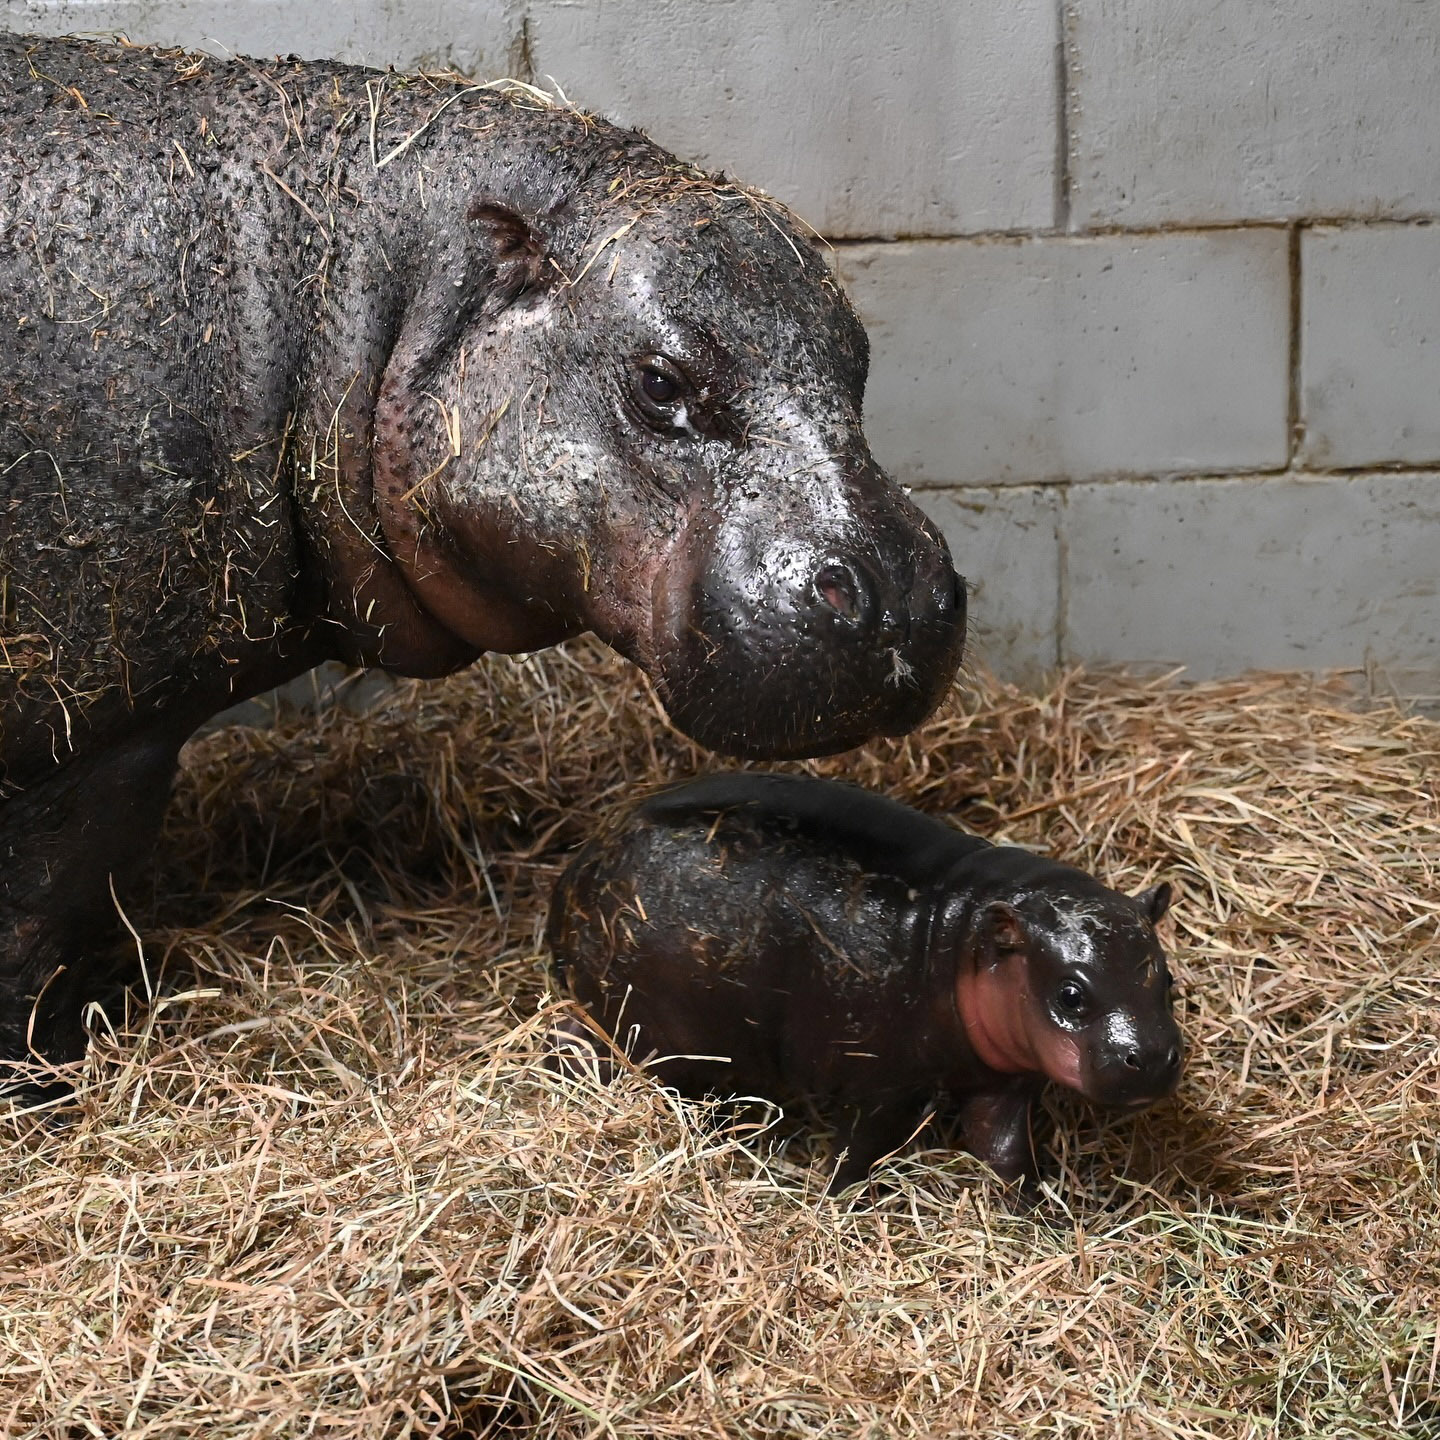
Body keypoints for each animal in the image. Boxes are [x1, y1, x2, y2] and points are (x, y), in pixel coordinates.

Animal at [0, 36, 966, 1073]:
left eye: (860, 357)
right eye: (660, 383)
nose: (903, 593)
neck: (352, 291)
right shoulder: (93, 746)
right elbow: (33, 933)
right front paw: (43, 1074)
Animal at [547, 773, 1184, 1195]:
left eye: (1169, 981)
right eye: (1070, 994)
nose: (1152, 1056)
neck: (964, 938)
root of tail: (582, 863)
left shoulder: (1001, 1080)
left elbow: (1004, 1149)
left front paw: (1035, 1210)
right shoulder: (882, 1082)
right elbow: (860, 1150)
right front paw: (835, 1201)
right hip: (651, 1026)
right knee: (583, 1040)